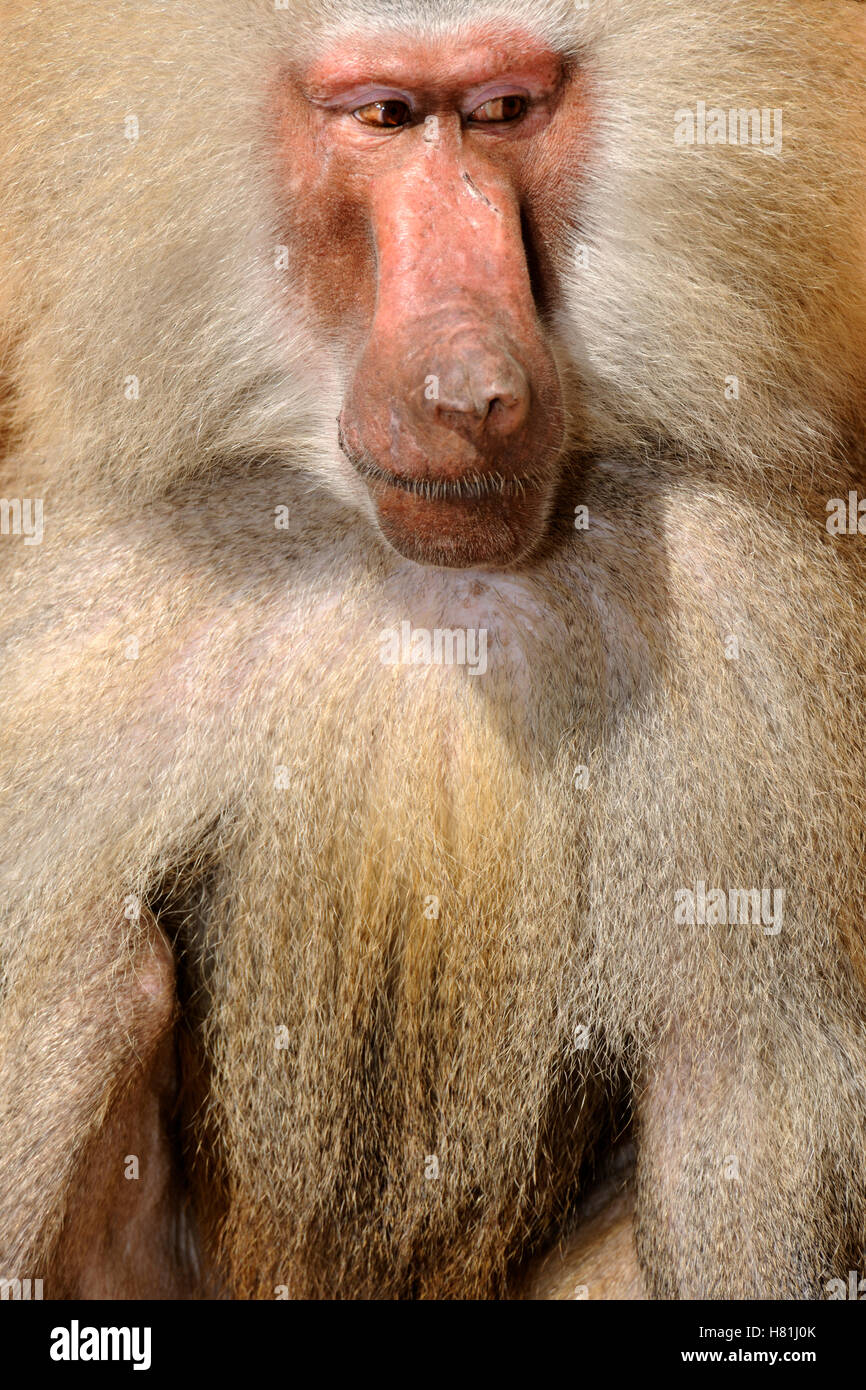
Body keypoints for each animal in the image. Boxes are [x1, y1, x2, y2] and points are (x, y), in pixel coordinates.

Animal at [1, 0, 866, 1301]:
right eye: (384, 116)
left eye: (502, 111)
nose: (473, 393)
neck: (442, 591)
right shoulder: (94, 615)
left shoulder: (755, 627)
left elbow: (741, 1130)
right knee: (91, 972)